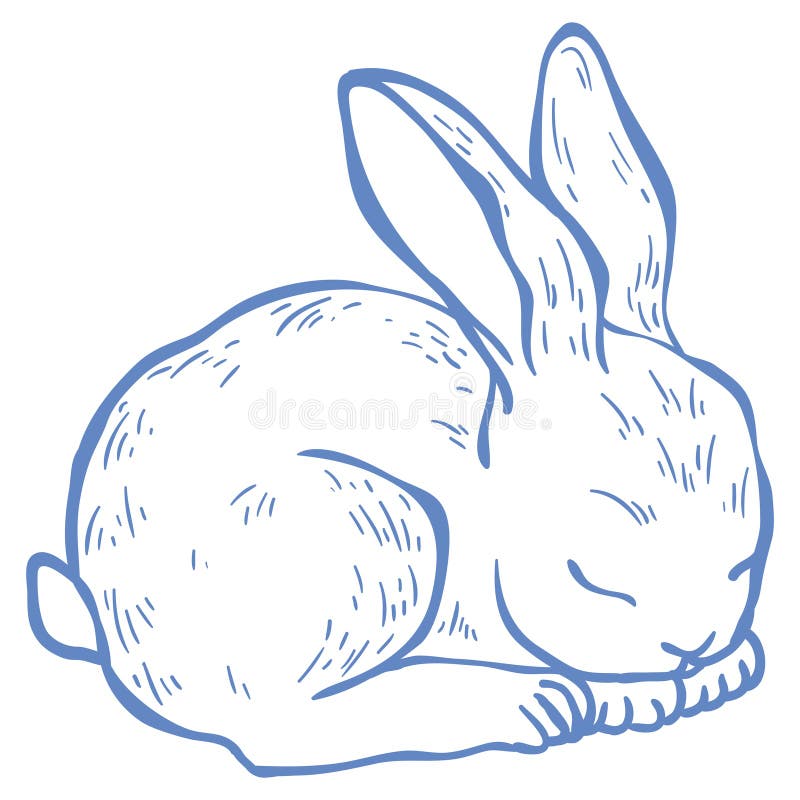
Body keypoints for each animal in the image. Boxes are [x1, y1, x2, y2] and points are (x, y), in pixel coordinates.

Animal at [26, 23, 772, 776]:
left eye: (744, 563)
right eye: (592, 578)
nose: (694, 646)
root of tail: (113, 625)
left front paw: (715, 676)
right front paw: (629, 696)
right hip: (369, 529)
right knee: (271, 728)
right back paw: (528, 705)